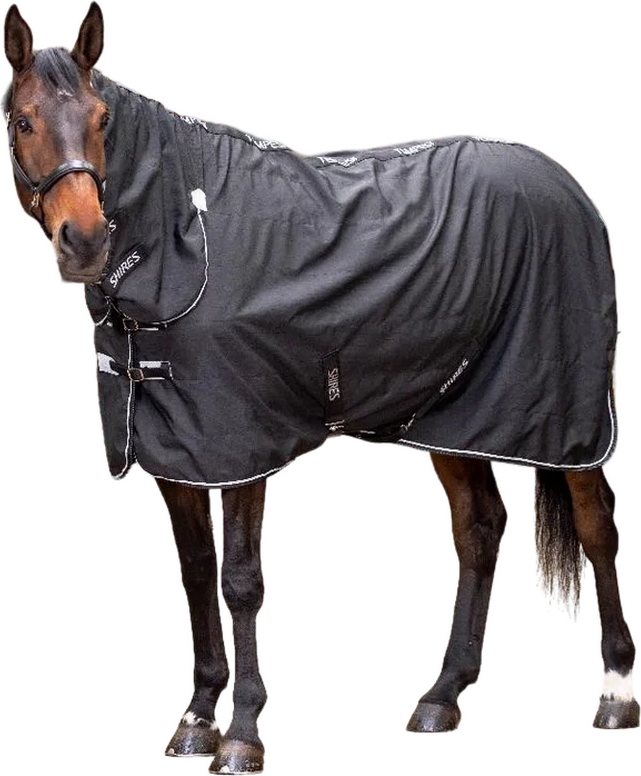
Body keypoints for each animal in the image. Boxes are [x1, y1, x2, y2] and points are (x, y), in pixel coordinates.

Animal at [3, 3, 638, 773]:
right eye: (24, 120)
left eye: (100, 118)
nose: (86, 241)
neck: (187, 228)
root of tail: (570, 190)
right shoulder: (176, 453)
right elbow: (195, 572)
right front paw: (196, 717)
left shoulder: (242, 447)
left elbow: (240, 582)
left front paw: (242, 734)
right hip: (454, 416)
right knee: (479, 529)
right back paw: (442, 695)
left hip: (570, 415)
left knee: (596, 525)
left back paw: (614, 693)